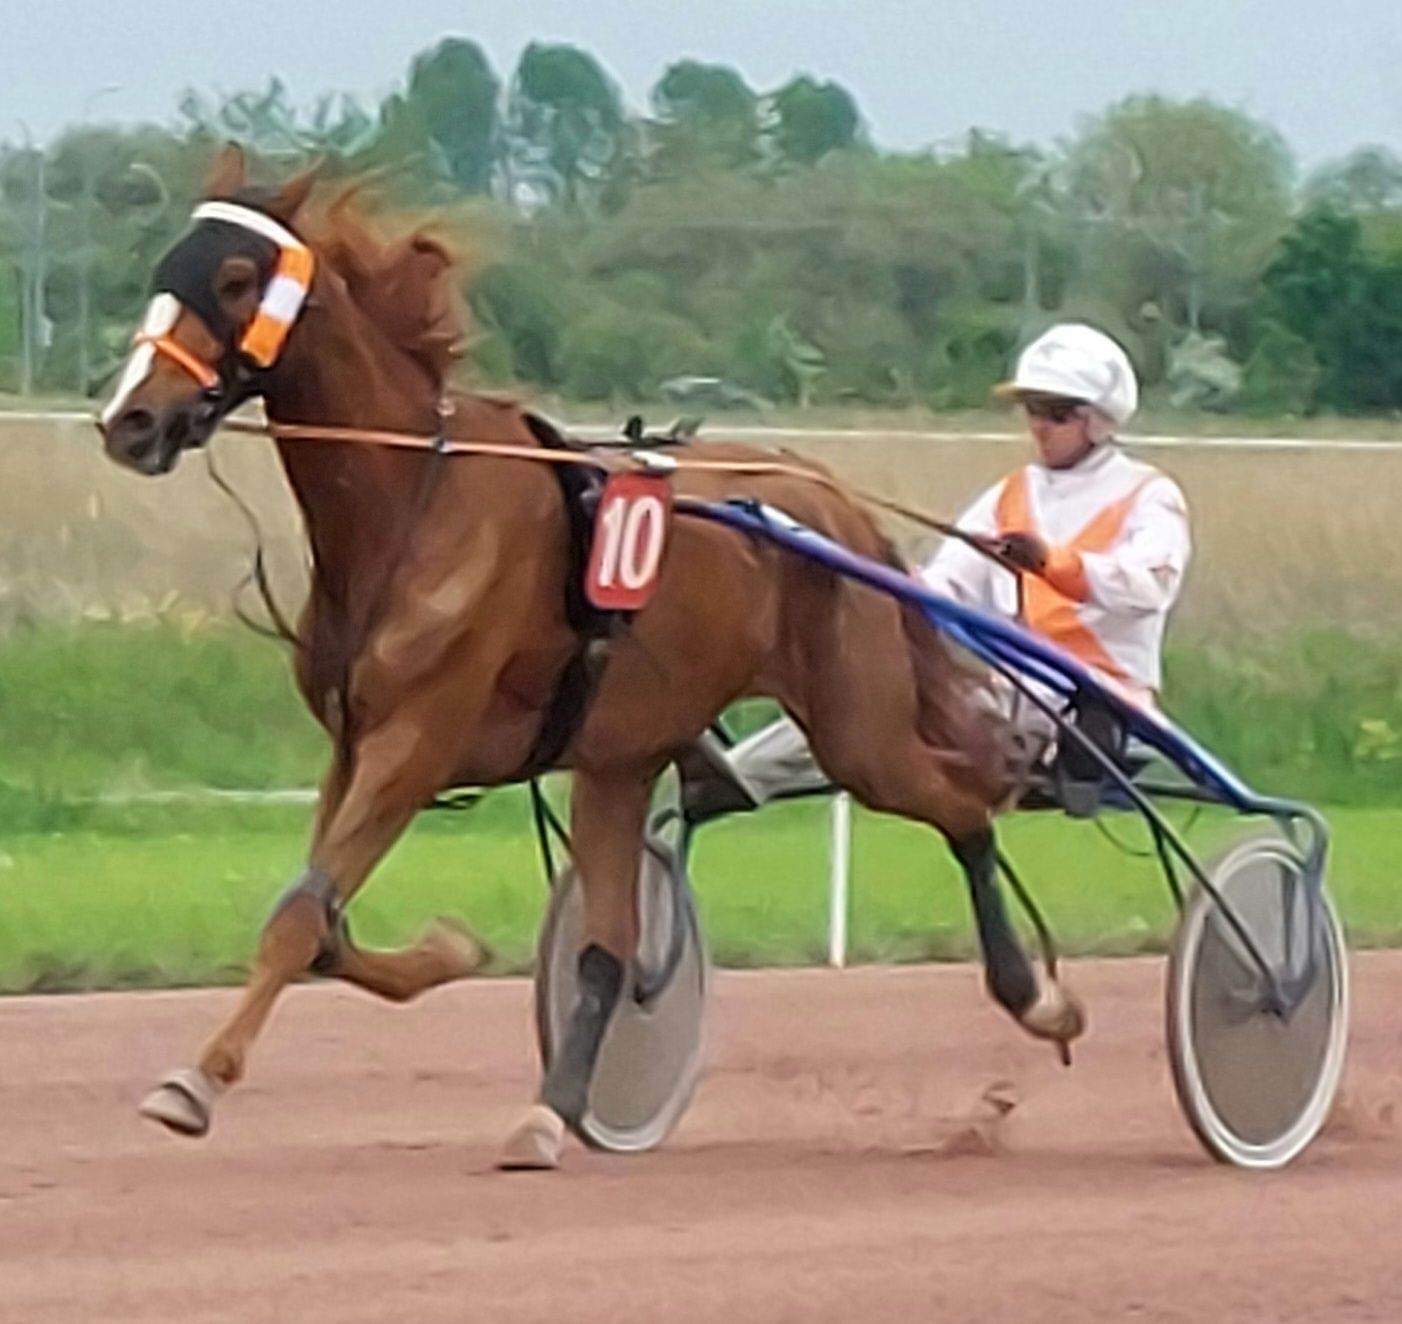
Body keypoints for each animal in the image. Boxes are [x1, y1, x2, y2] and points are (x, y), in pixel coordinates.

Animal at [97, 146, 1083, 1169]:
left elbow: (299, 921)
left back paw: (1040, 999)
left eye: (233, 278)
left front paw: (194, 1082)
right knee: (609, 943)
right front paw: (449, 951)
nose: (130, 422)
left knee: (961, 808)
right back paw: (550, 1111)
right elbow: (321, 921)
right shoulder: (356, 741)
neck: (413, 498)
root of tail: (827, 495)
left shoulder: (414, 743)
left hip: (858, 732)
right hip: (623, 753)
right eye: (164, 267)